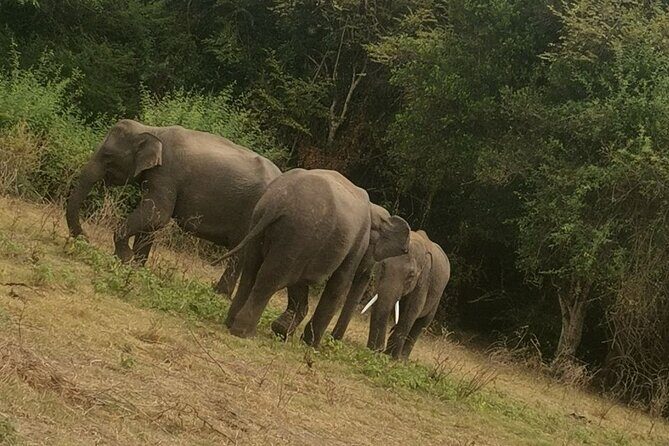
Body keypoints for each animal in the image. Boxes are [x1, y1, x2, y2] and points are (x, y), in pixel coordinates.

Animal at [65, 119, 281, 295]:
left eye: (107, 155)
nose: (85, 237)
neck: (152, 130)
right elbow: (151, 220)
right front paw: (137, 266)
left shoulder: (167, 173)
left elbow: (158, 215)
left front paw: (125, 259)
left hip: (252, 215)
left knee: (239, 254)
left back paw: (218, 293)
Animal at [218, 168, 411, 347]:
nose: (333, 341)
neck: (374, 209)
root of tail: (276, 203)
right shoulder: (356, 243)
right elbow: (339, 285)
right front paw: (311, 344)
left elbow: (300, 283)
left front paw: (282, 331)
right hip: (298, 233)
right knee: (270, 279)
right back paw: (244, 333)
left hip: (263, 223)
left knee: (251, 271)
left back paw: (230, 324)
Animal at [365, 230, 450, 360]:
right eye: (383, 266)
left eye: (411, 275)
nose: (377, 350)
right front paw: (375, 351)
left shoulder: (423, 281)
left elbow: (411, 311)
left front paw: (392, 358)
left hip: (438, 295)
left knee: (422, 323)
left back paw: (402, 359)